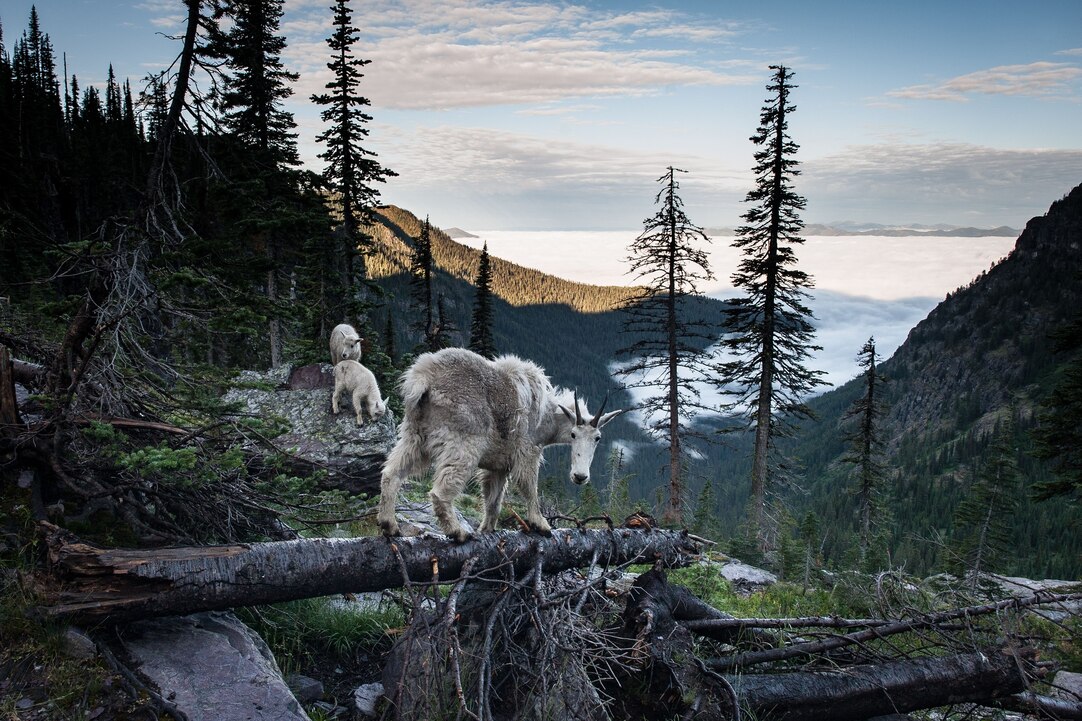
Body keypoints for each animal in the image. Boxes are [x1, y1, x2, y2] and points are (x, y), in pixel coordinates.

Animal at [377, 347, 625, 542]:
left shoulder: (497, 467)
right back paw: (458, 532)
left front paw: (487, 529)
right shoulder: (527, 452)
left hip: (414, 436)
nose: (580, 477)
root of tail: (423, 377)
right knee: (440, 491)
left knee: (391, 474)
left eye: (597, 438)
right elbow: (529, 488)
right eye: (573, 434)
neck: (545, 416)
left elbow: (493, 501)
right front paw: (541, 524)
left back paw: (390, 526)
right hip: (463, 443)